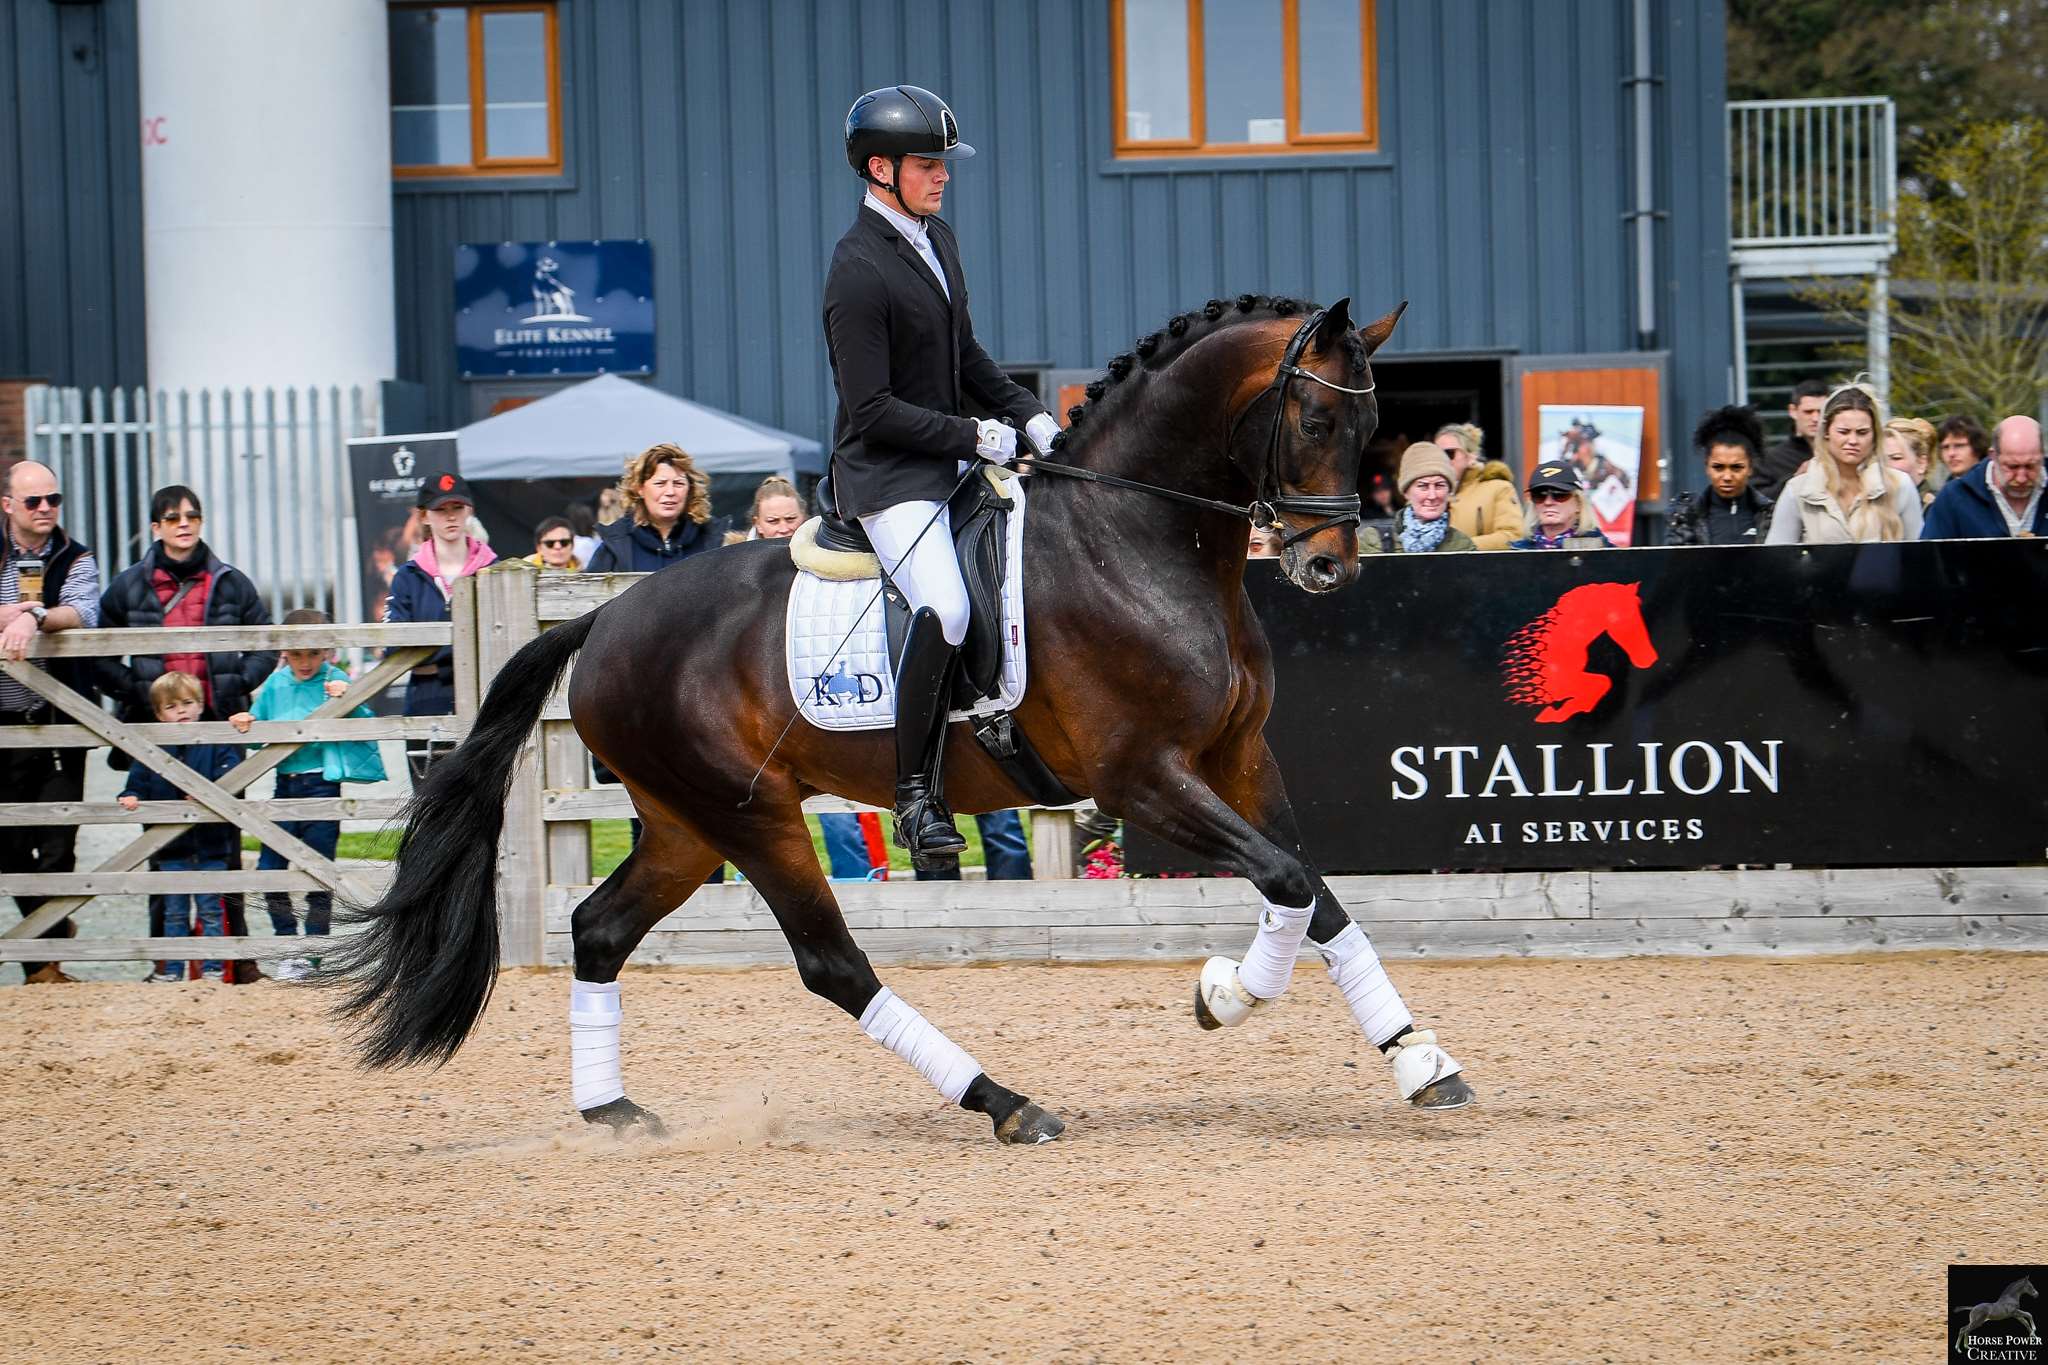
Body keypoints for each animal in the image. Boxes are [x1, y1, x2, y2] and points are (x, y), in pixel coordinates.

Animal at [323, 293, 1477, 1144]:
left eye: (1374, 427)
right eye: (1316, 421)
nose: (1327, 568)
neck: (1132, 538)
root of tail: (603, 617)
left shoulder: (1237, 760)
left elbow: (1313, 890)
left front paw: (1420, 1059)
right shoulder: (1141, 776)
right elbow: (1283, 881)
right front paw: (1223, 994)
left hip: (687, 823)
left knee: (599, 929)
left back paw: (611, 1112)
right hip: (753, 819)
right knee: (833, 967)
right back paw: (1005, 1103)